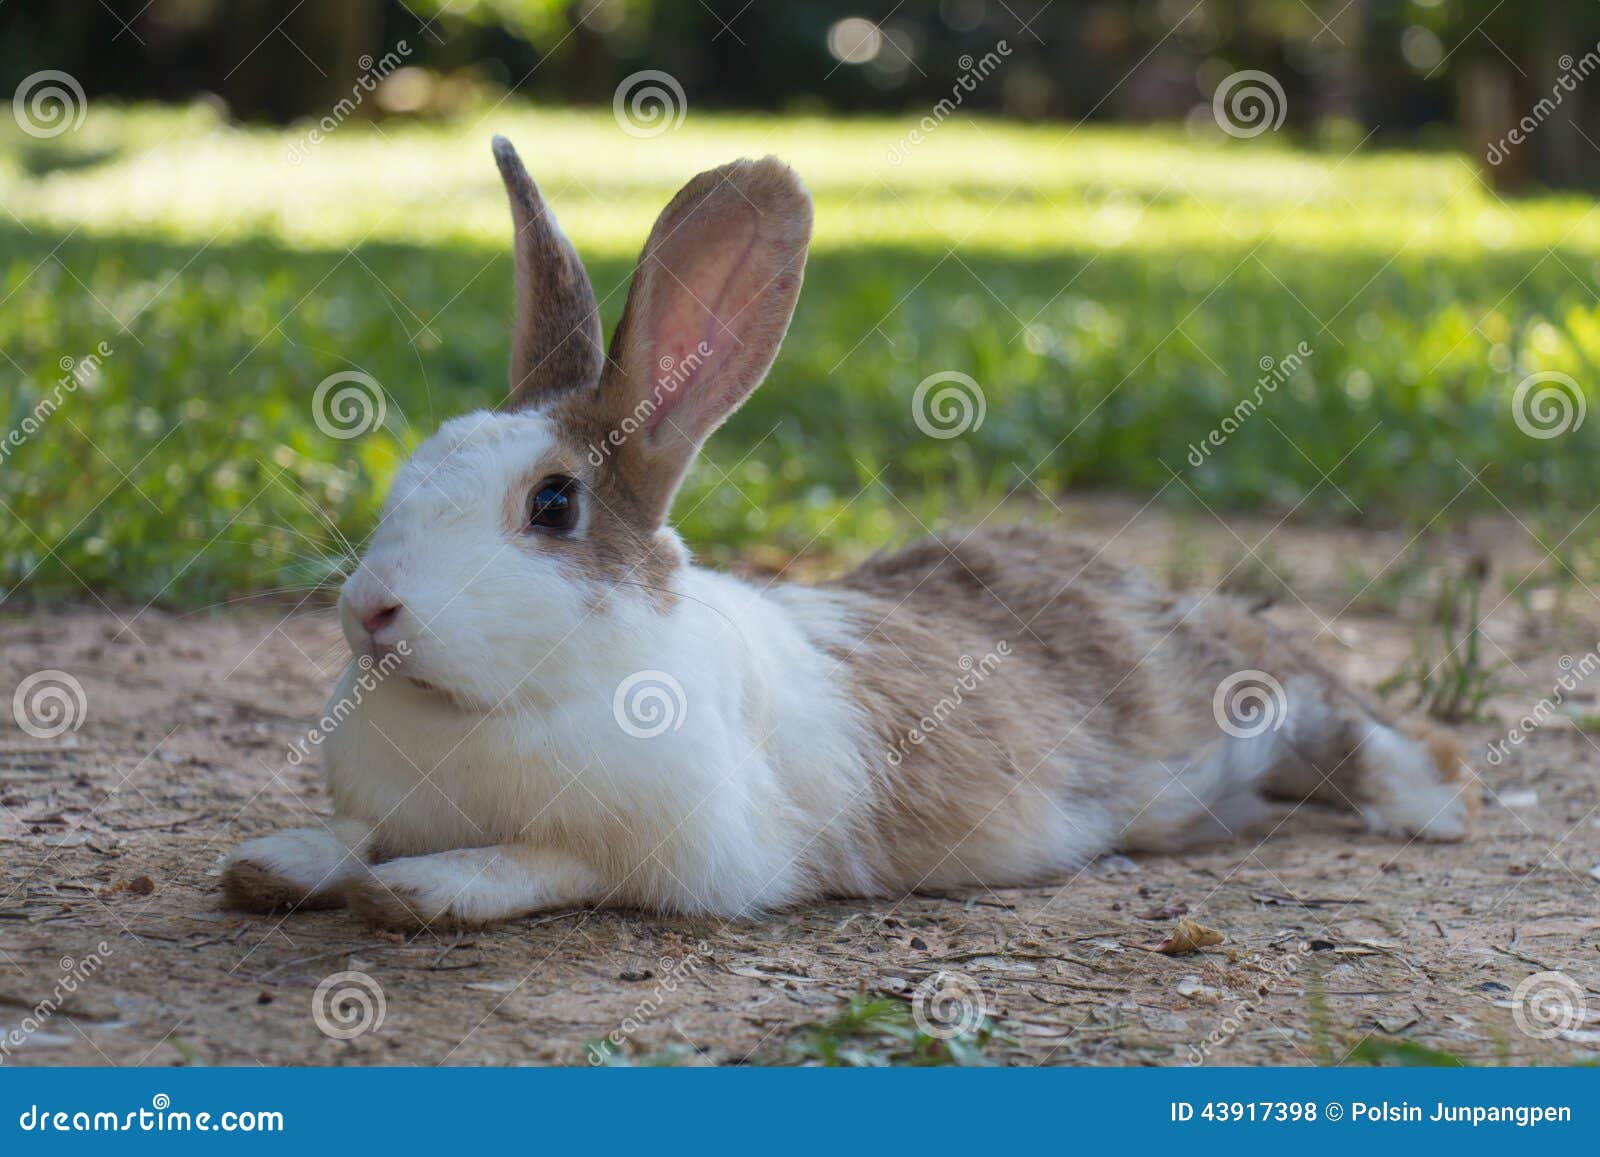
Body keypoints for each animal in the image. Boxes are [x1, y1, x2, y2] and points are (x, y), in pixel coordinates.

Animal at [221, 137, 1477, 931]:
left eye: (551, 506)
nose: (369, 609)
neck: (484, 709)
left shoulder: (672, 851)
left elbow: (532, 863)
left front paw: (421, 890)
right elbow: (348, 835)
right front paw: (274, 864)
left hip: (1252, 700)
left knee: (1347, 721)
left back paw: (1430, 806)